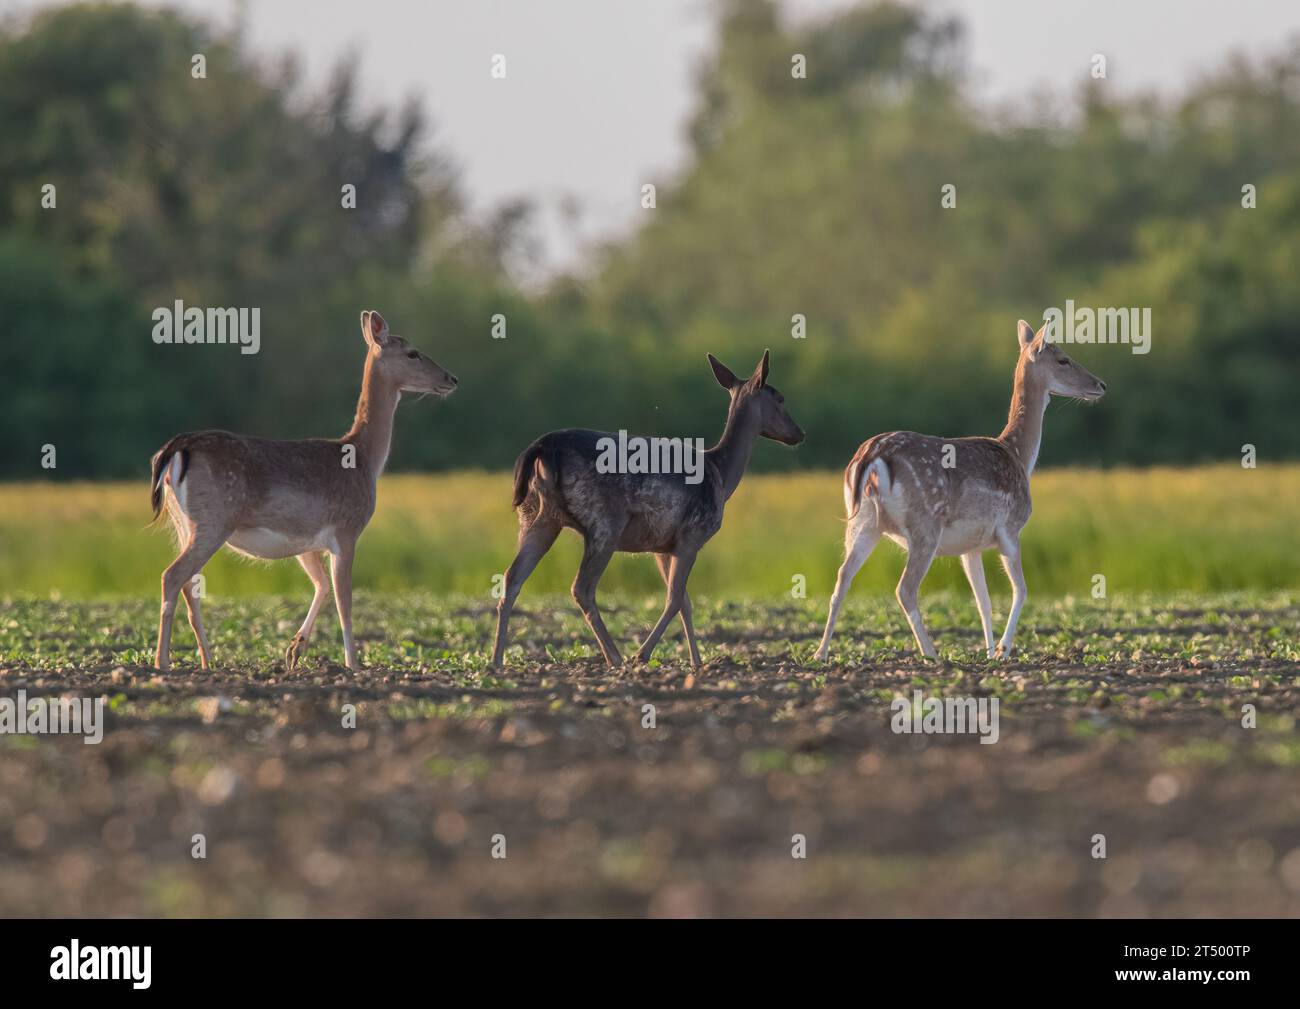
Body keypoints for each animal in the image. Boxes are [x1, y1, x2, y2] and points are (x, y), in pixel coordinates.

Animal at [148, 310, 458, 672]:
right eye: (412, 353)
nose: (452, 378)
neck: (365, 459)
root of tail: (176, 449)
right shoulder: (346, 530)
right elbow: (344, 601)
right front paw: (353, 664)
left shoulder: (306, 541)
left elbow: (321, 585)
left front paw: (295, 650)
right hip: (213, 520)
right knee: (172, 576)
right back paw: (162, 662)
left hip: (184, 523)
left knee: (189, 584)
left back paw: (207, 661)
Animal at [491, 350, 804, 670]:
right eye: (780, 398)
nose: (799, 433)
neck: (722, 476)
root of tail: (542, 447)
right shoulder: (693, 534)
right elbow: (675, 598)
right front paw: (643, 654)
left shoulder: (662, 546)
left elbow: (686, 602)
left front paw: (697, 662)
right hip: (604, 521)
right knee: (581, 587)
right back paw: (615, 656)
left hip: (535, 515)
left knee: (511, 578)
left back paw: (497, 660)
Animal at [815, 319, 1106, 662]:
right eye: (1063, 359)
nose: (1101, 385)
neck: (1019, 455)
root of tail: (872, 456)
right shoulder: (1011, 527)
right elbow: (1021, 590)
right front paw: (1003, 650)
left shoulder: (971, 546)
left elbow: (983, 601)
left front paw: (989, 652)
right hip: (925, 523)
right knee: (905, 588)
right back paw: (931, 653)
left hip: (862, 520)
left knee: (842, 577)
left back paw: (821, 653)